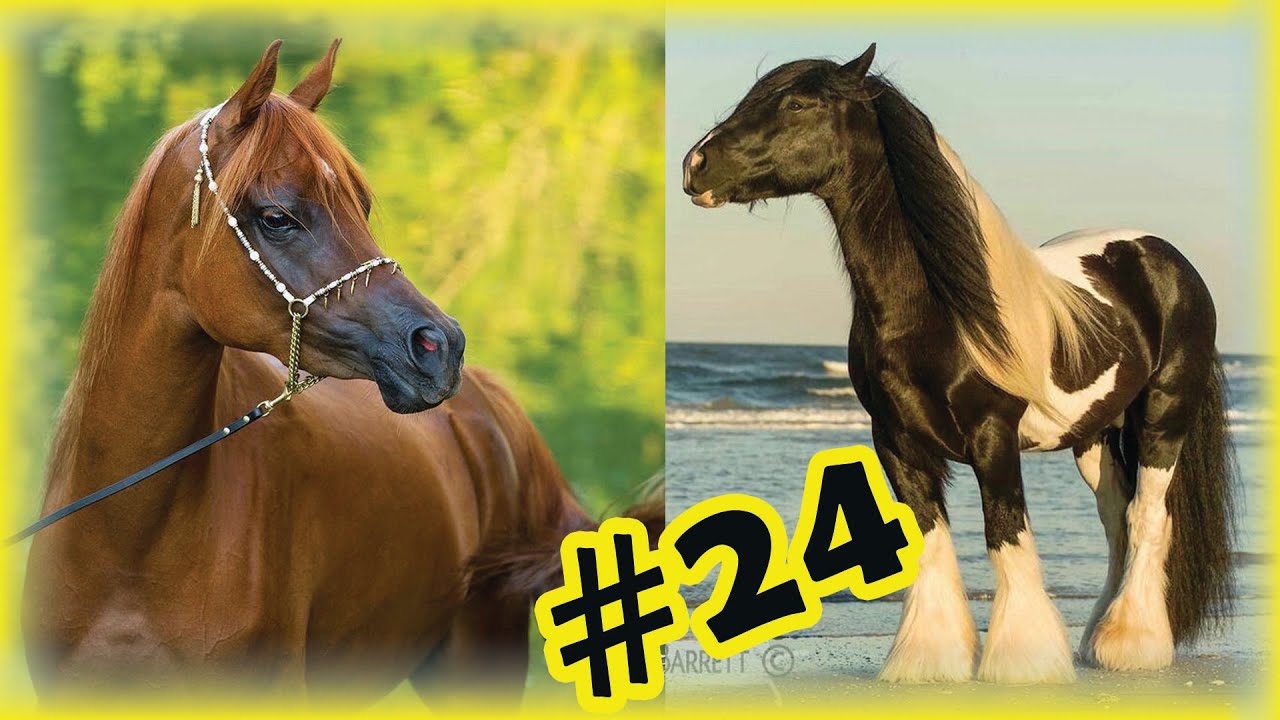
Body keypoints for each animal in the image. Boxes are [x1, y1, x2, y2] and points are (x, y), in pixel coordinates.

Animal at [681, 43, 1235, 684]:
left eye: (798, 103)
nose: (694, 166)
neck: (939, 313)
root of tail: (1165, 258)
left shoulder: (993, 437)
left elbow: (1006, 534)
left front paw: (1022, 662)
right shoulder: (896, 441)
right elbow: (929, 539)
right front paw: (929, 659)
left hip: (1162, 420)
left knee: (1148, 518)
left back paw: (1132, 645)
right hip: (1094, 438)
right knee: (1117, 520)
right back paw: (1097, 639)